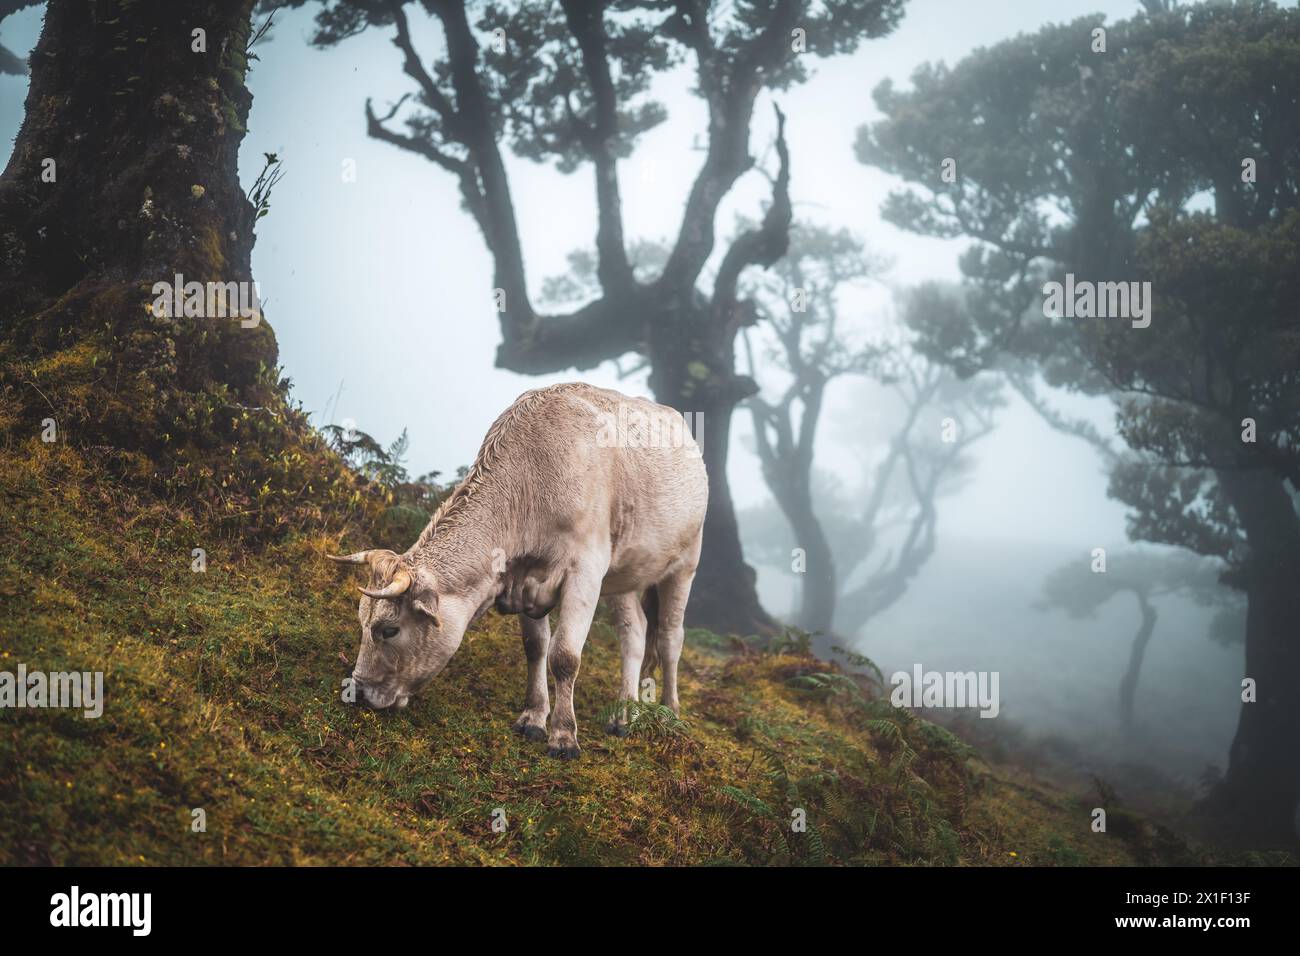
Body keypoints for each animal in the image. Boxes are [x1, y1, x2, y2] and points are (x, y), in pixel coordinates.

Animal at [328, 382, 708, 759]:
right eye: (362, 620)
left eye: (388, 629)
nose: (357, 692)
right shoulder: (523, 578)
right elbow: (536, 647)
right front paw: (534, 718)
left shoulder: (585, 569)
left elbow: (564, 656)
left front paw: (564, 736)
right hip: (624, 575)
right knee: (635, 633)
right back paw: (624, 715)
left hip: (685, 564)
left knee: (670, 638)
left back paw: (671, 713)